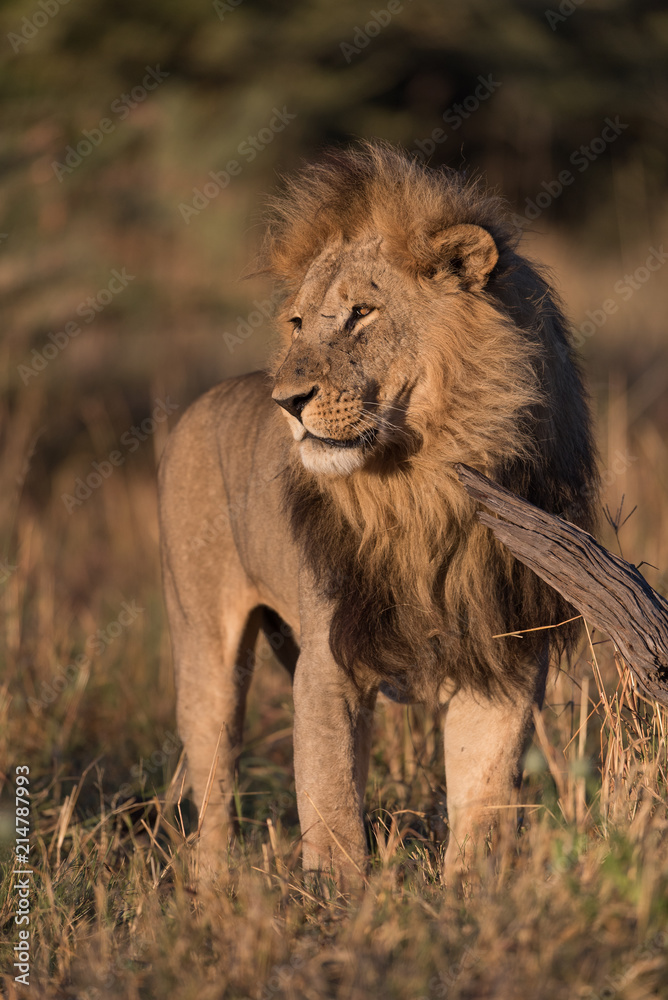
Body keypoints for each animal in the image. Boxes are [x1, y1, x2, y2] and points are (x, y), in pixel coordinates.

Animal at [158, 142, 598, 883]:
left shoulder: (502, 663)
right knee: (213, 792)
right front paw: (337, 901)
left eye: (362, 313)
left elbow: (484, 801)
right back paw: (214, 892)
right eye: (297, 323)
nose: (286, 402)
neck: (423, 487)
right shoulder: (326, 666)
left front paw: (470, 898)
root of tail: (201, 401)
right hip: (206, 651)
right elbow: (332, 808)